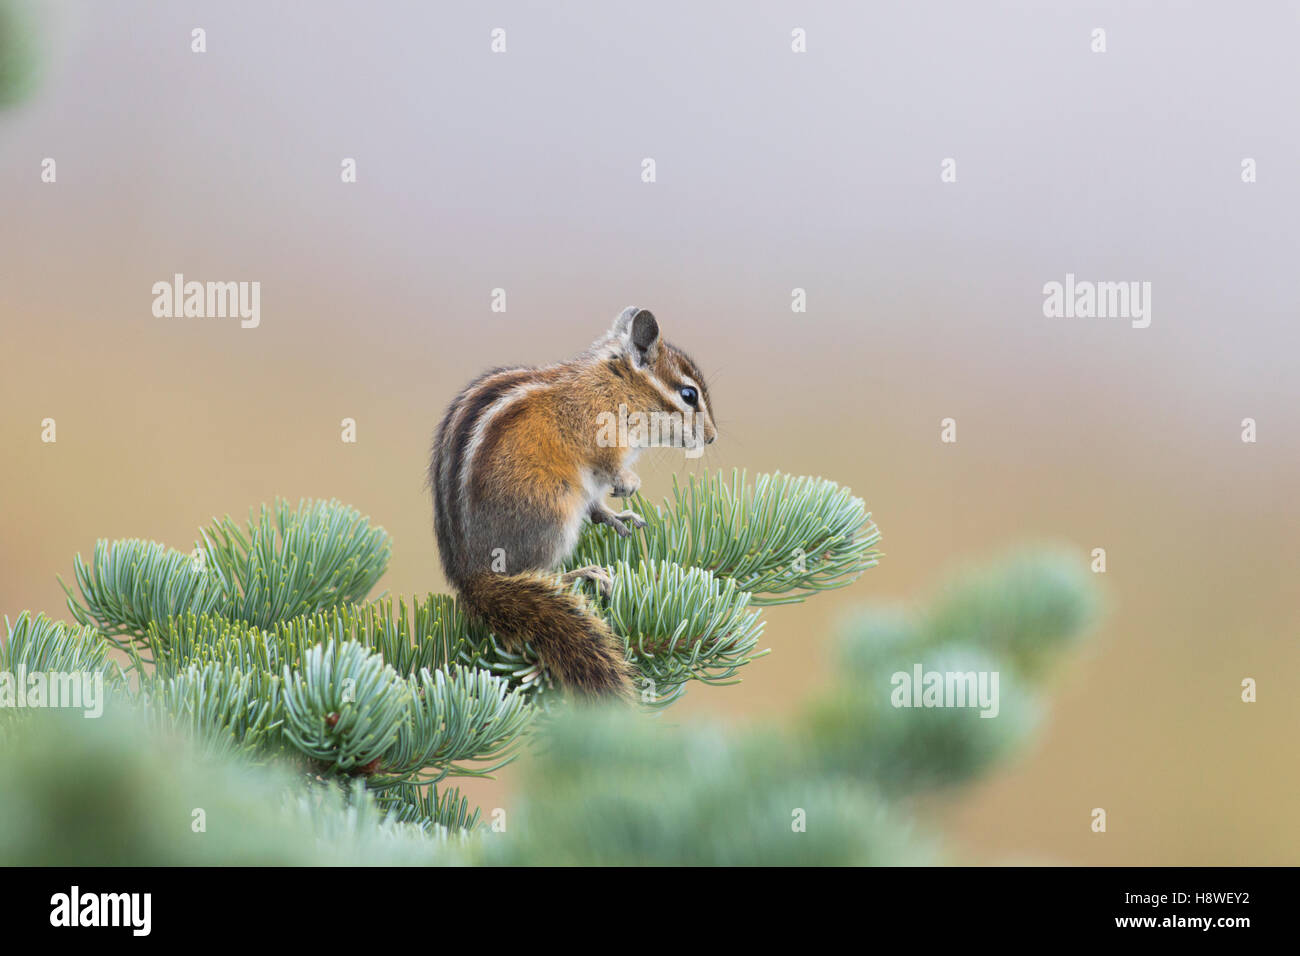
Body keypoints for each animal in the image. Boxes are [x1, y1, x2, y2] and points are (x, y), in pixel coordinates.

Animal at [429, 307, 717, 701]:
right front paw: (628, 485)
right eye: (689, 395)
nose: (712, 437)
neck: (616, 386)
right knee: (539, 572)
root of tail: (472, 579)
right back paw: (583, 573)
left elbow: (599, 503)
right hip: (553, 509)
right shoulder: (599, 437)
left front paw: (617, 514)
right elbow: (609, 465)